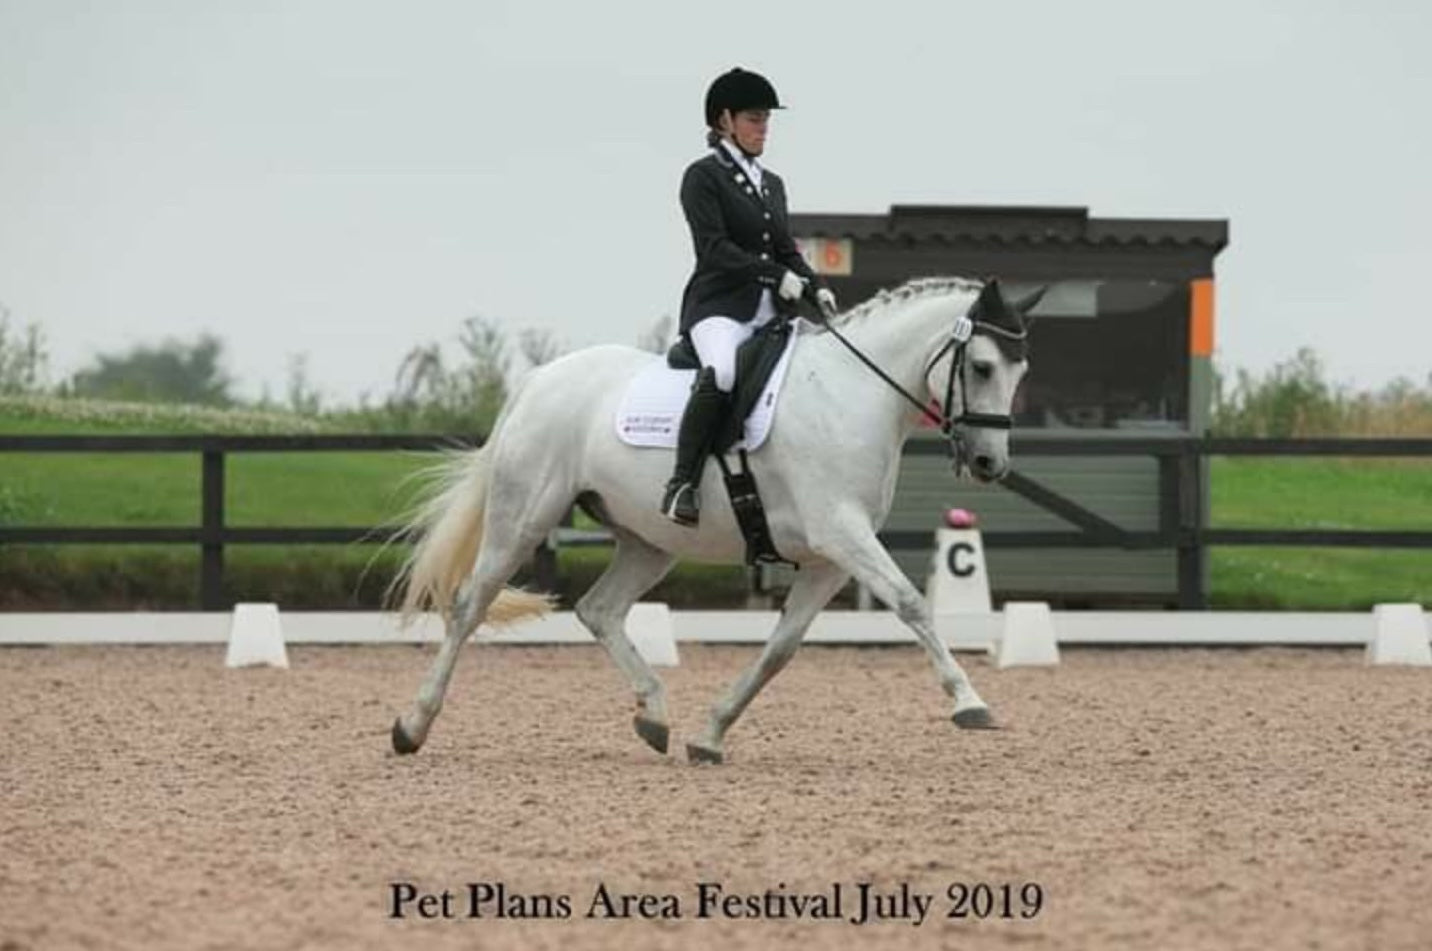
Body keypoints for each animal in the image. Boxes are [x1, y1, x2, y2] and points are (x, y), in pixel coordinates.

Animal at [389, 276, 1039, 764]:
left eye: (1021, 373)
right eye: (982, 367)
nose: (990, 463)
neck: (850, 394)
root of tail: (539, 379)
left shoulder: (828, 560)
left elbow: (780, 649)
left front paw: (711, 734)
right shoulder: (841, 532)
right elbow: (911, 604)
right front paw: (969, 702)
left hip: (649, 540)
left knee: (599, 609)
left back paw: (654, 716)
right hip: (523, 517)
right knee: (469, 606)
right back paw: (412, 726)